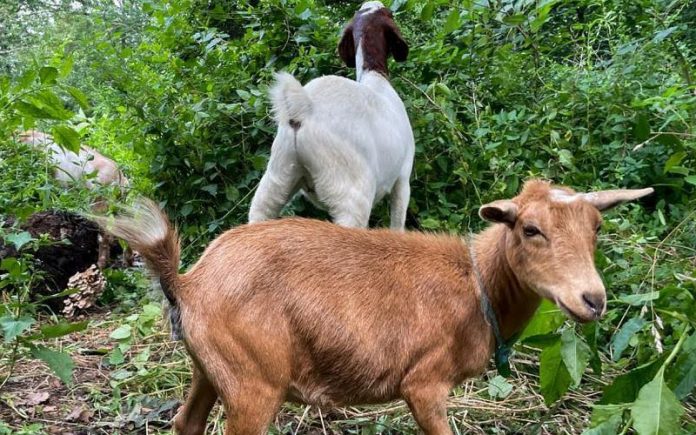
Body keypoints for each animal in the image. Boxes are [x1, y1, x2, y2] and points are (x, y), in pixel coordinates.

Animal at [18, 130, 131, 268]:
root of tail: (120, 179)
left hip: (100, 205)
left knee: (105, 235)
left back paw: (101, 264)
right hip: (120, 206)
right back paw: (127, 261)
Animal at [96, 180, 652, 434]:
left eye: (596, 228)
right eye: (530, 229)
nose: (593, 300)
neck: (477, 287)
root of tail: (188, 282)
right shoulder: (424, 383)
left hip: (212, 369)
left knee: (186, 423)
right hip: (254, 383)